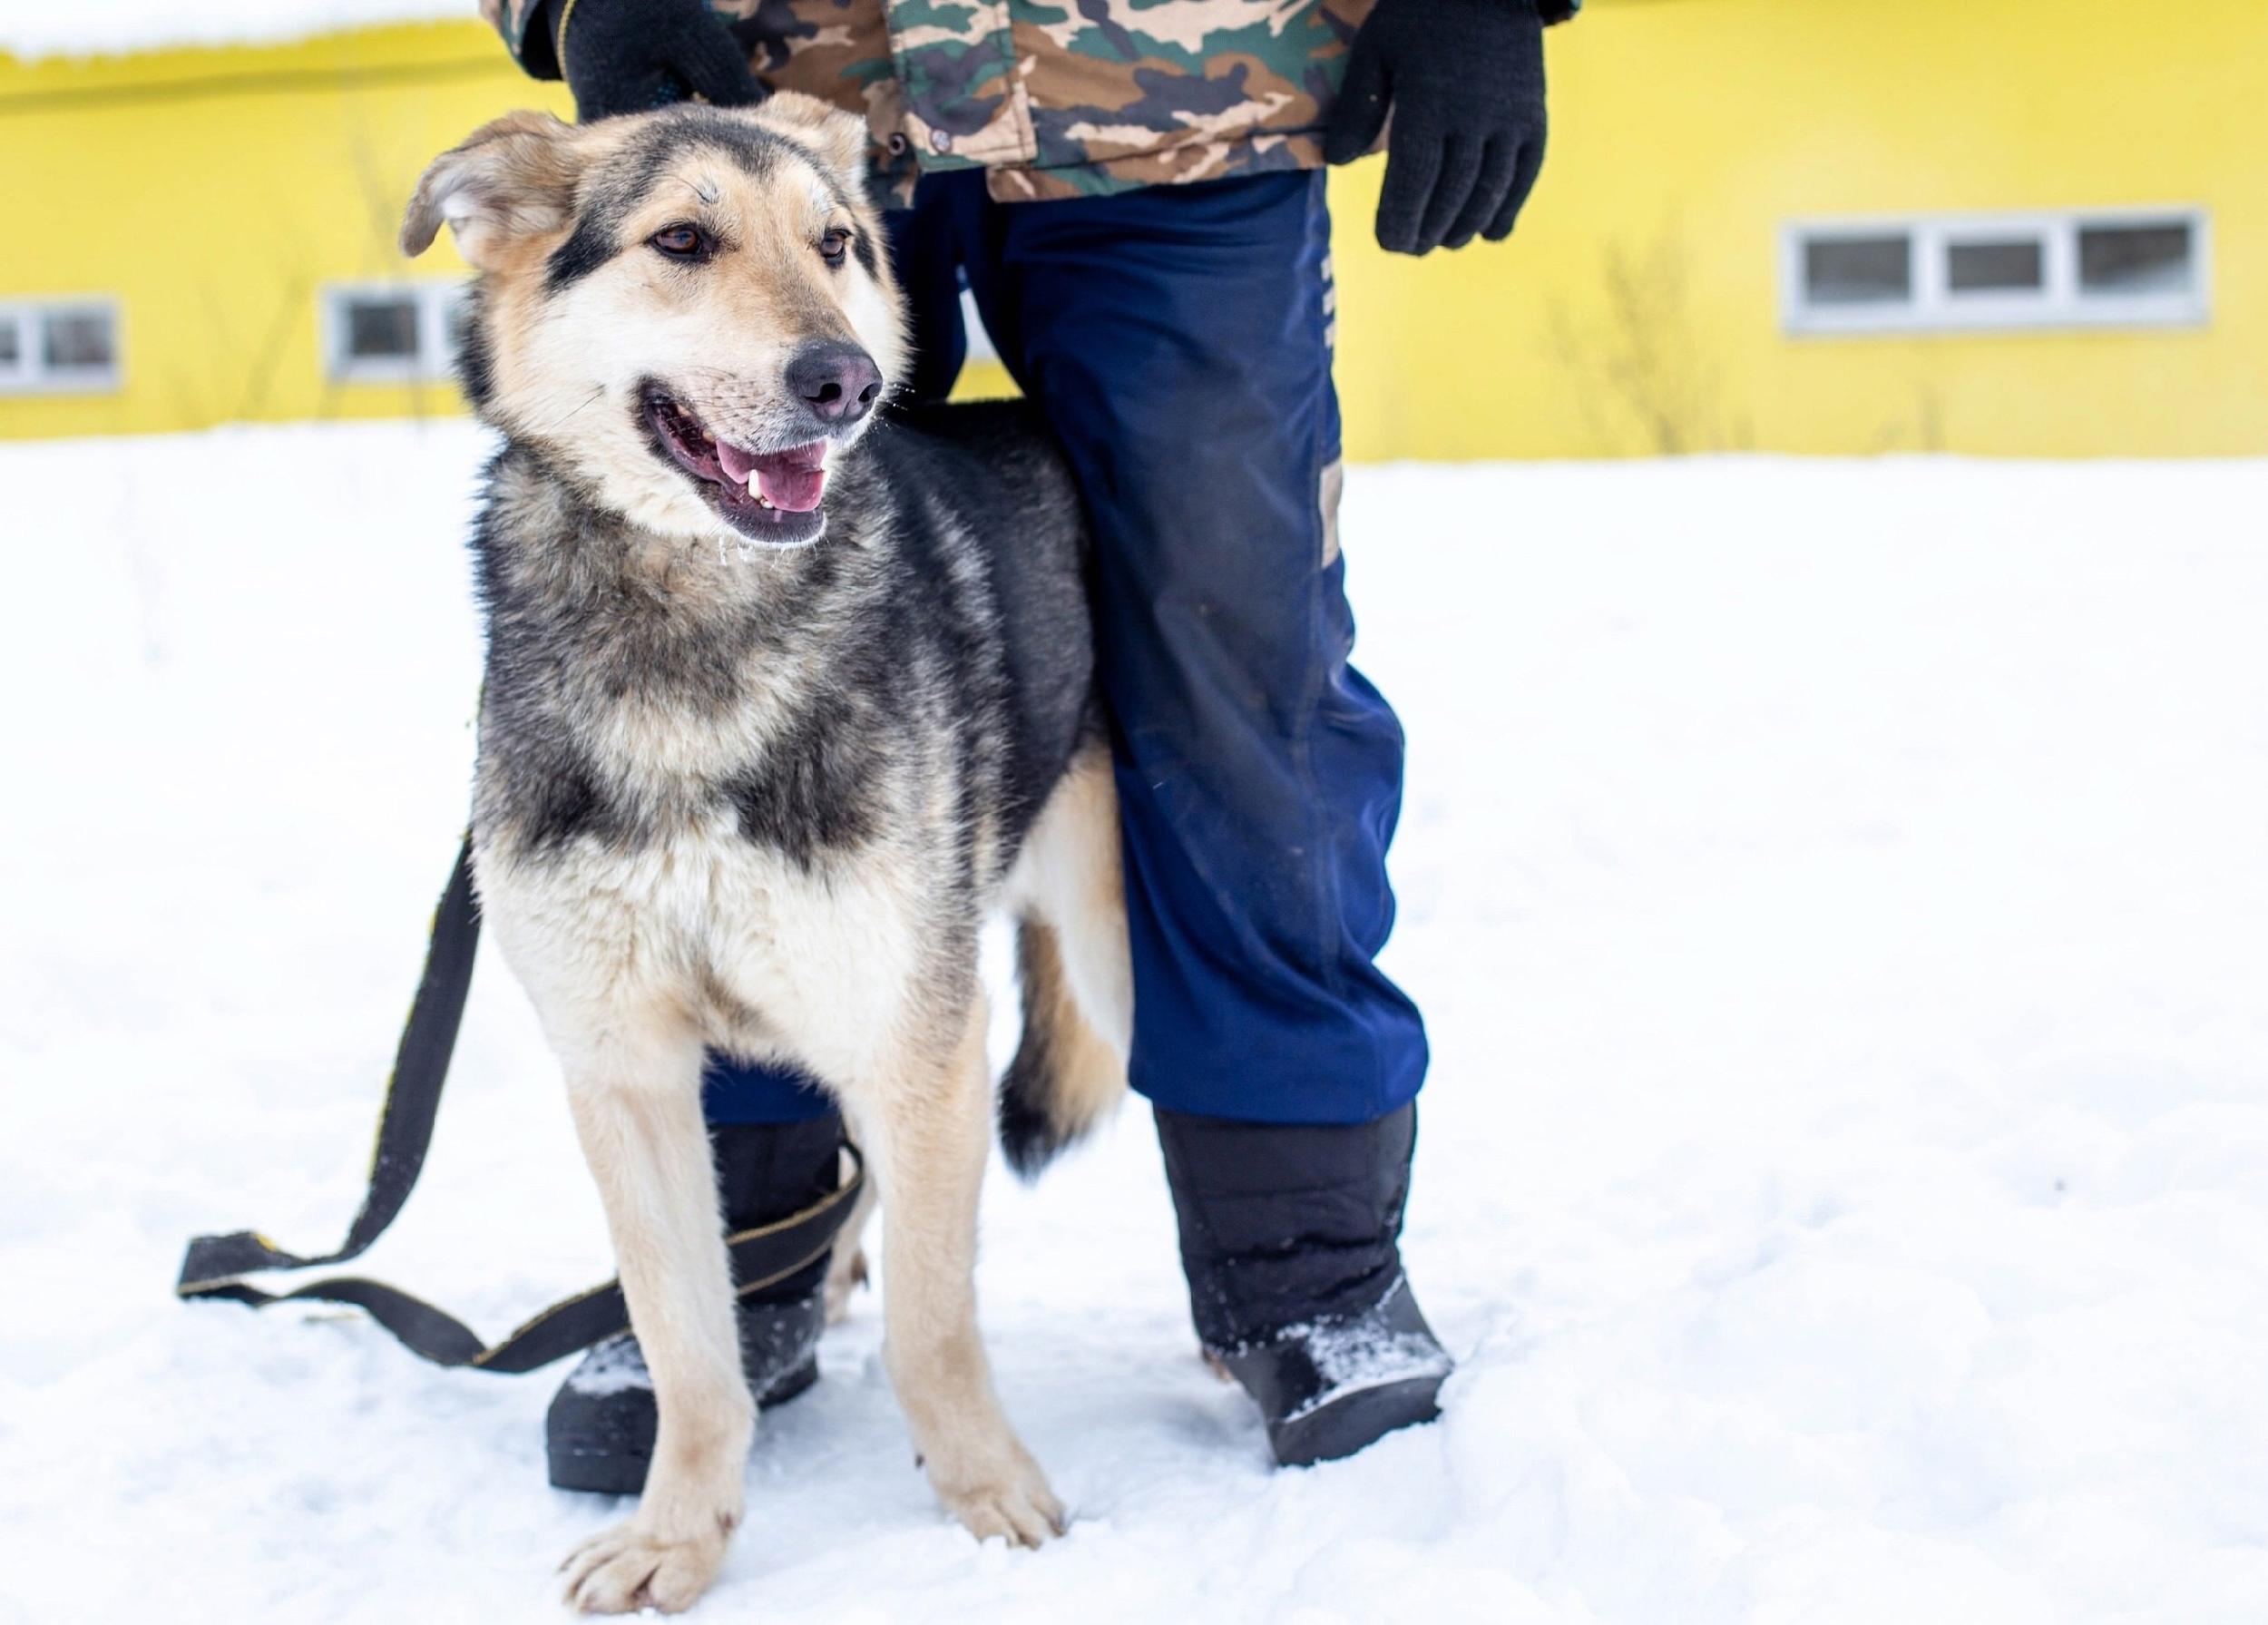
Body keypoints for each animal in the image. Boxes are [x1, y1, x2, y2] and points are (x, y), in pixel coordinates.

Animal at [401, 98, 1134, 1615]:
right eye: (683, 240)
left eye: (837, 243)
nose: (844, 380)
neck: (690, 637)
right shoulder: (625, 1066)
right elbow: (690, 1345)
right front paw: (679, 1537)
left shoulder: (917, 1034)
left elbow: (935, 1319)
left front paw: (990, 1502)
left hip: (1100, 952)